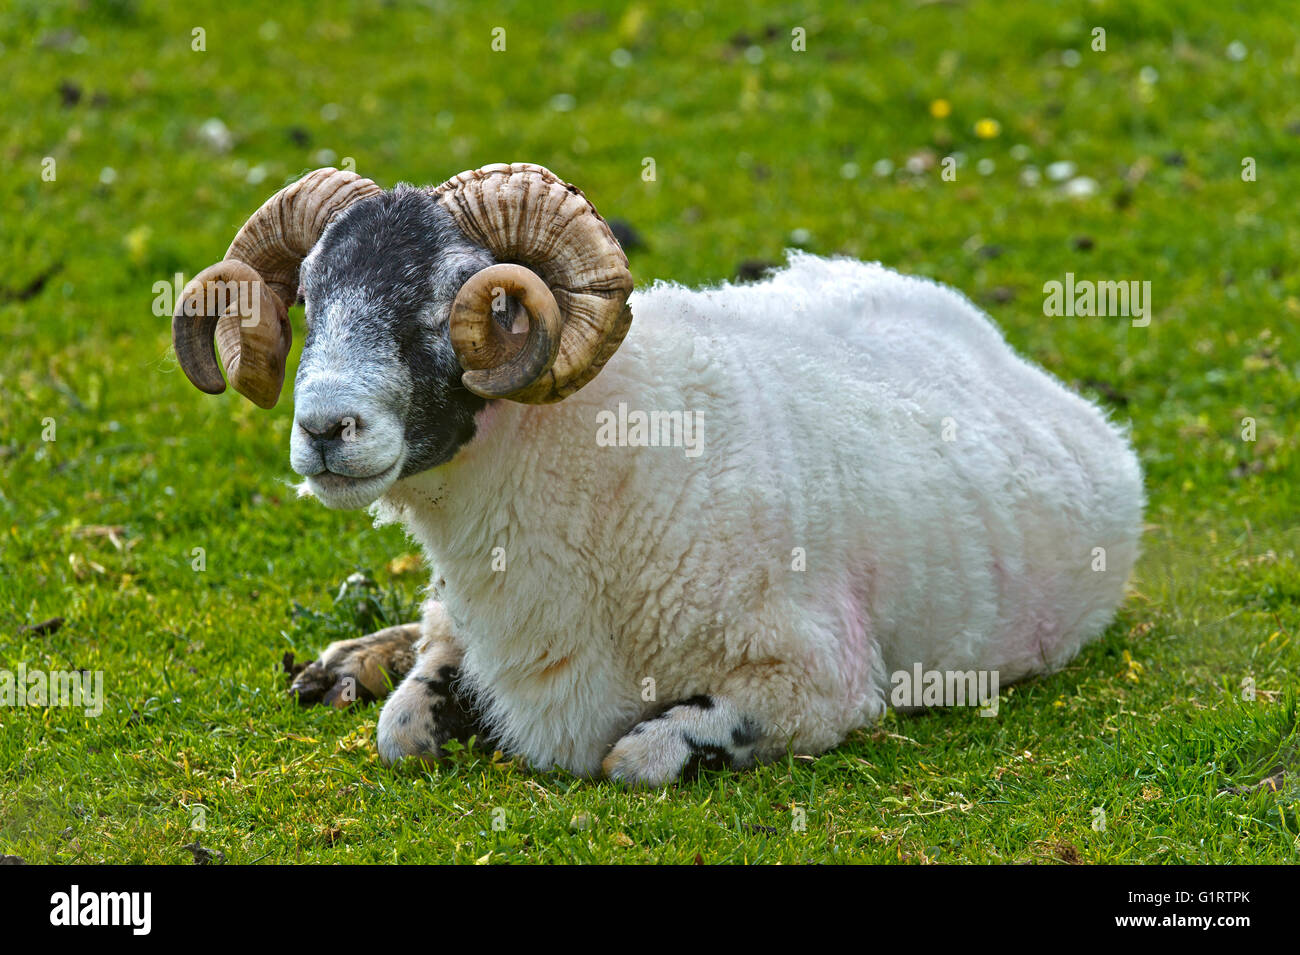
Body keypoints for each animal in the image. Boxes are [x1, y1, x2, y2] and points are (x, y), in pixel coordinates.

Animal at [172, 164, 1144, 786]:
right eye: (311, 293)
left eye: (469, 299)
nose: (324, 429)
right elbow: (403, 730)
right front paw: (384, 675)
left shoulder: (822, 684)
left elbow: (632, 756)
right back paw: (348, 659)